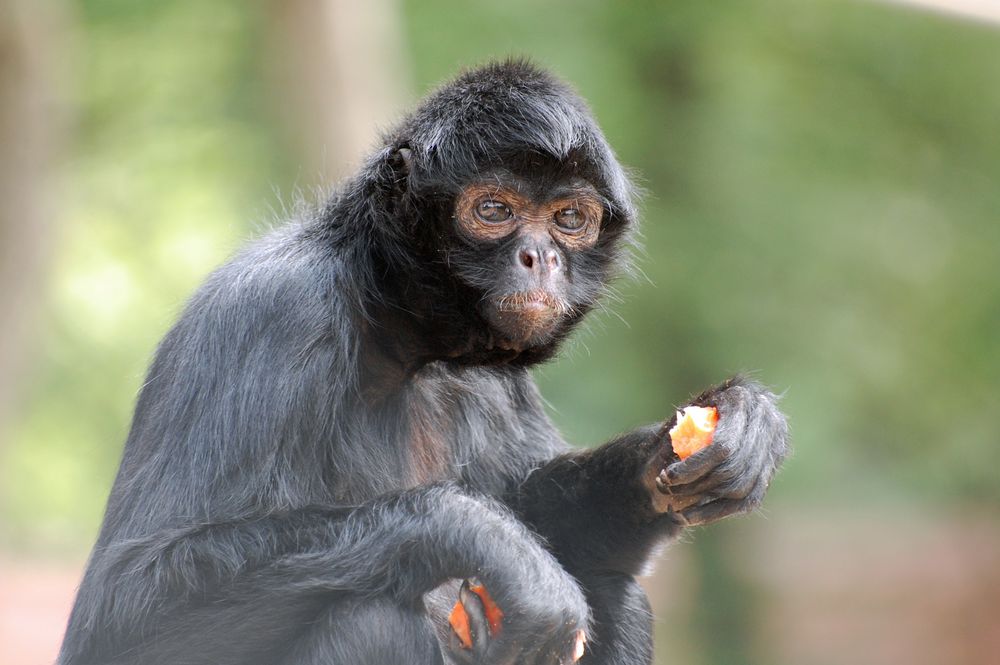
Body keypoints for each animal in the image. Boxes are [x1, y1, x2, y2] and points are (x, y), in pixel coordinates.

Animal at [59, 59, 789, 665]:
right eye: (494, 209)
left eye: (568, 219)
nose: (542, 257)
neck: (395, 331)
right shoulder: (273, 314)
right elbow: (124, 613)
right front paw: (483, 537)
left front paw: (713, 430)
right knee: (373, 621)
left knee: (617, 596)